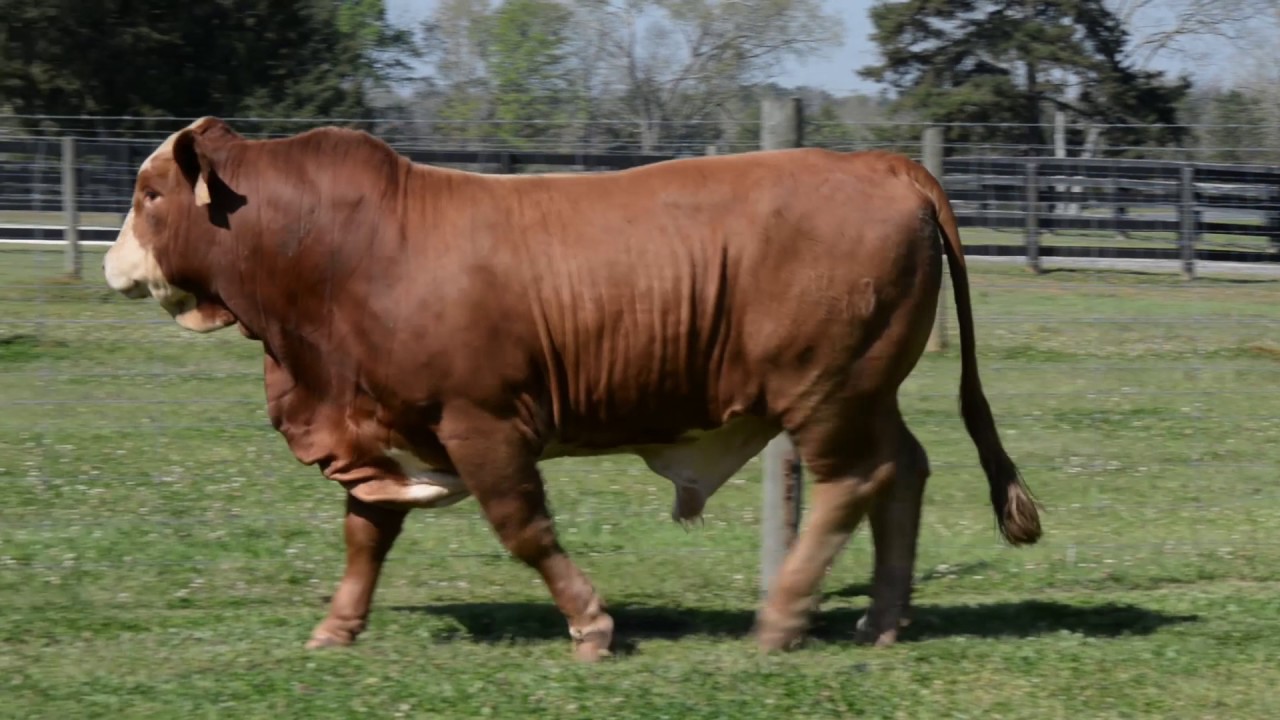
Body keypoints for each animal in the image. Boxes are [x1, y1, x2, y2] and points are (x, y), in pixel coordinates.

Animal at [103, 117, 1041, 661]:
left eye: (149, 193)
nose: (113, 265)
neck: (345, 252)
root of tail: (884, 165)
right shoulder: (382, 422)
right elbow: (365, 533)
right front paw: (339, 625)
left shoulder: (481, 423)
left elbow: (524, 529)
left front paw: (591, 623)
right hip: (867, 393)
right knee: (903, 472)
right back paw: (882, 619)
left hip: (825, 393)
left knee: (851, 484)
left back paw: (781, 620)